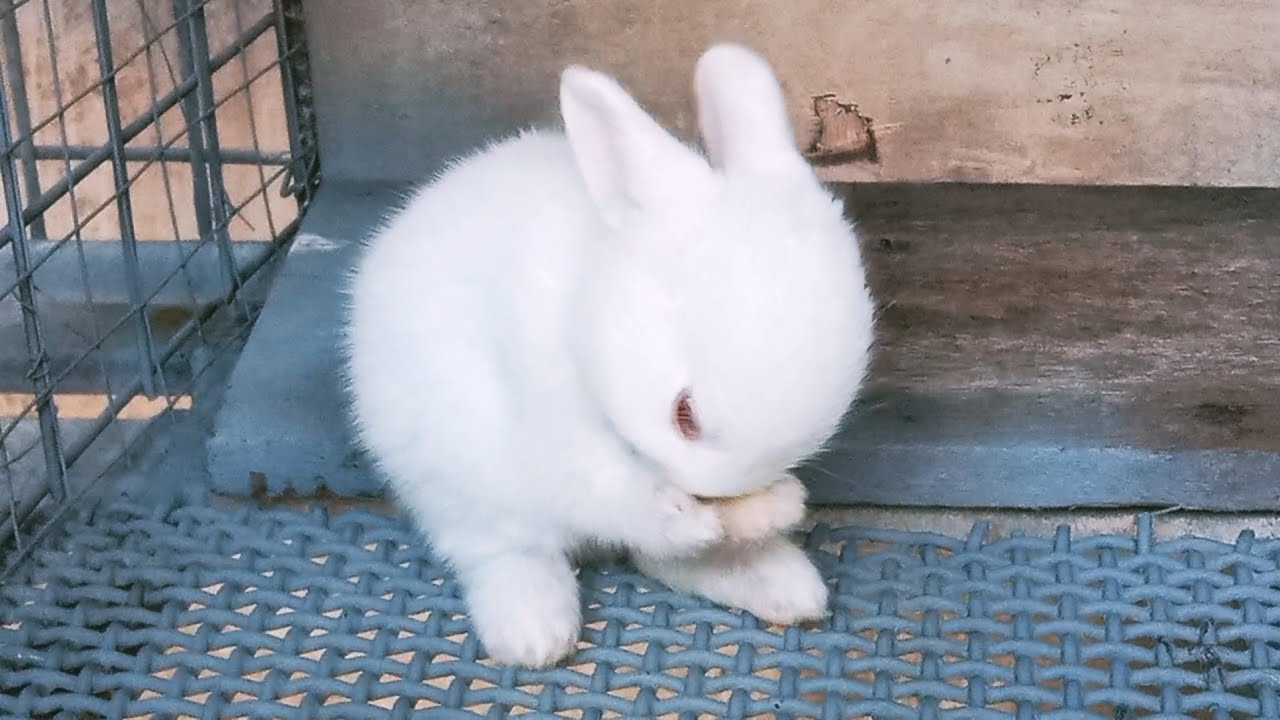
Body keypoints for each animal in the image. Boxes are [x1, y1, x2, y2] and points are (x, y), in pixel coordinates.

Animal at [343, 43, 876, 668]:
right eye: (684, 415)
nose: (710, 498)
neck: (584, 319)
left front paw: (780, 508)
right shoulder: (558, 434)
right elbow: (616, 495)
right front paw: (683, 520)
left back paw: (778, 582)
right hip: (458, 486)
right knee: (504, 551)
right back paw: (535, 632)